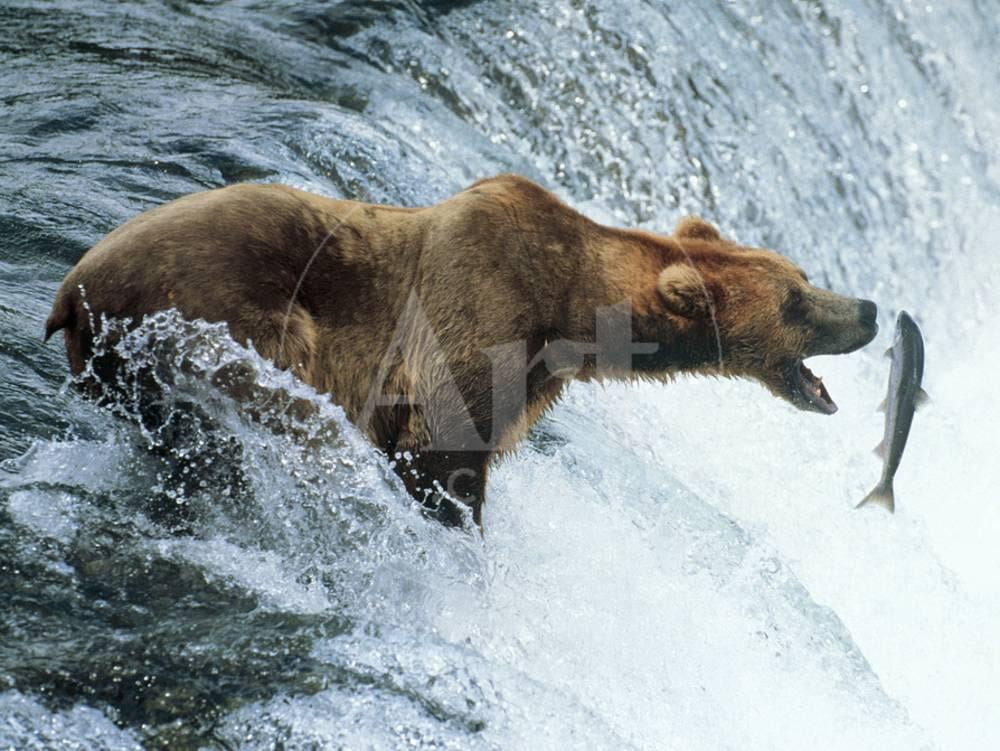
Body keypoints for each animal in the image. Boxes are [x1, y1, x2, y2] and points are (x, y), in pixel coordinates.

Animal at [45, 174, 878, 527]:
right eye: (797, 301)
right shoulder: (472, 319)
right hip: (226, 314)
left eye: (802, 275)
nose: (868, 310)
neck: (570, 308)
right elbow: (445, 452)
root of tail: (70, 288)